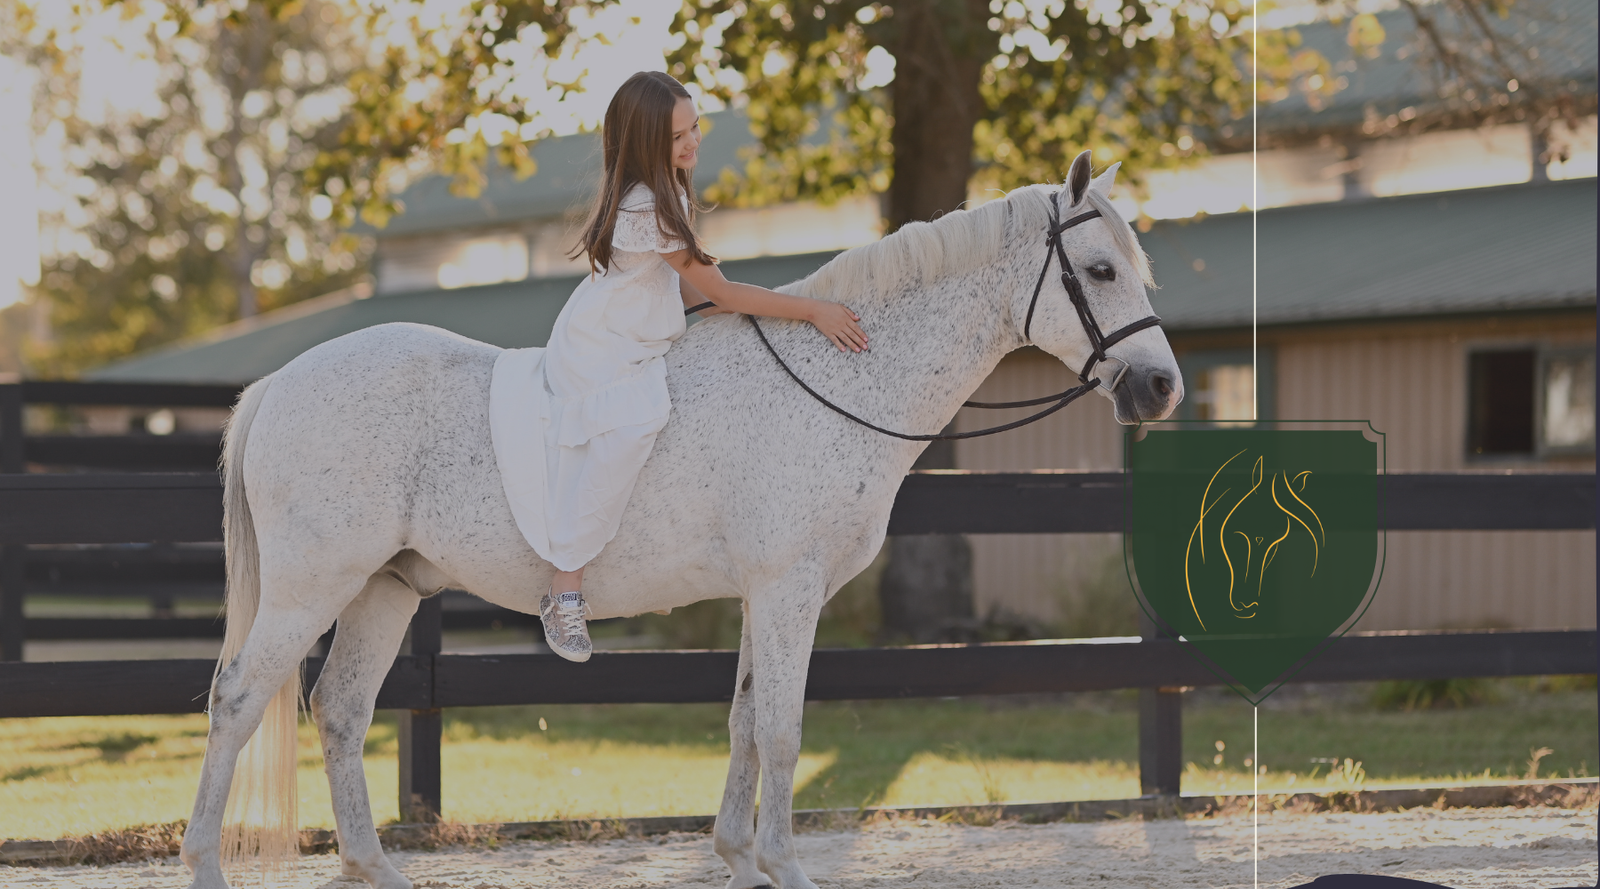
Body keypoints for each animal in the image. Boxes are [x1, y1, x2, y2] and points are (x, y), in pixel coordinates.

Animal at [180, 150, 1182, 889]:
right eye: (1099, 270)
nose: (1161, 388)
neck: (837, 379)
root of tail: (282, 382)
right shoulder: (789, 589)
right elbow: (782, 727)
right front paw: (783, 865)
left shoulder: (762, 595)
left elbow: (743, 722)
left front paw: (738, 857)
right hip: (313, 587)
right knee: (237, 699)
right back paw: (204, 864)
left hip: (383, 589)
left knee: (341, 709)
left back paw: (375, 866)